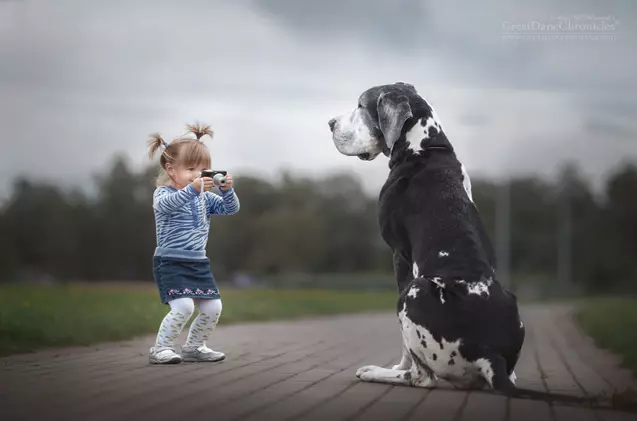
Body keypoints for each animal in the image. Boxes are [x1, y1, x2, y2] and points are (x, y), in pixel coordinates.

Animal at [328, 82, 576, 400]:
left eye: (361, 105)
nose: (330, 123)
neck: (424, 148)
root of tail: (488, 354)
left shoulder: (400, 256)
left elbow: (405, 347)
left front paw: (395, 366)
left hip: (413, 291)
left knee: (422, 377)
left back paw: (376, 372)